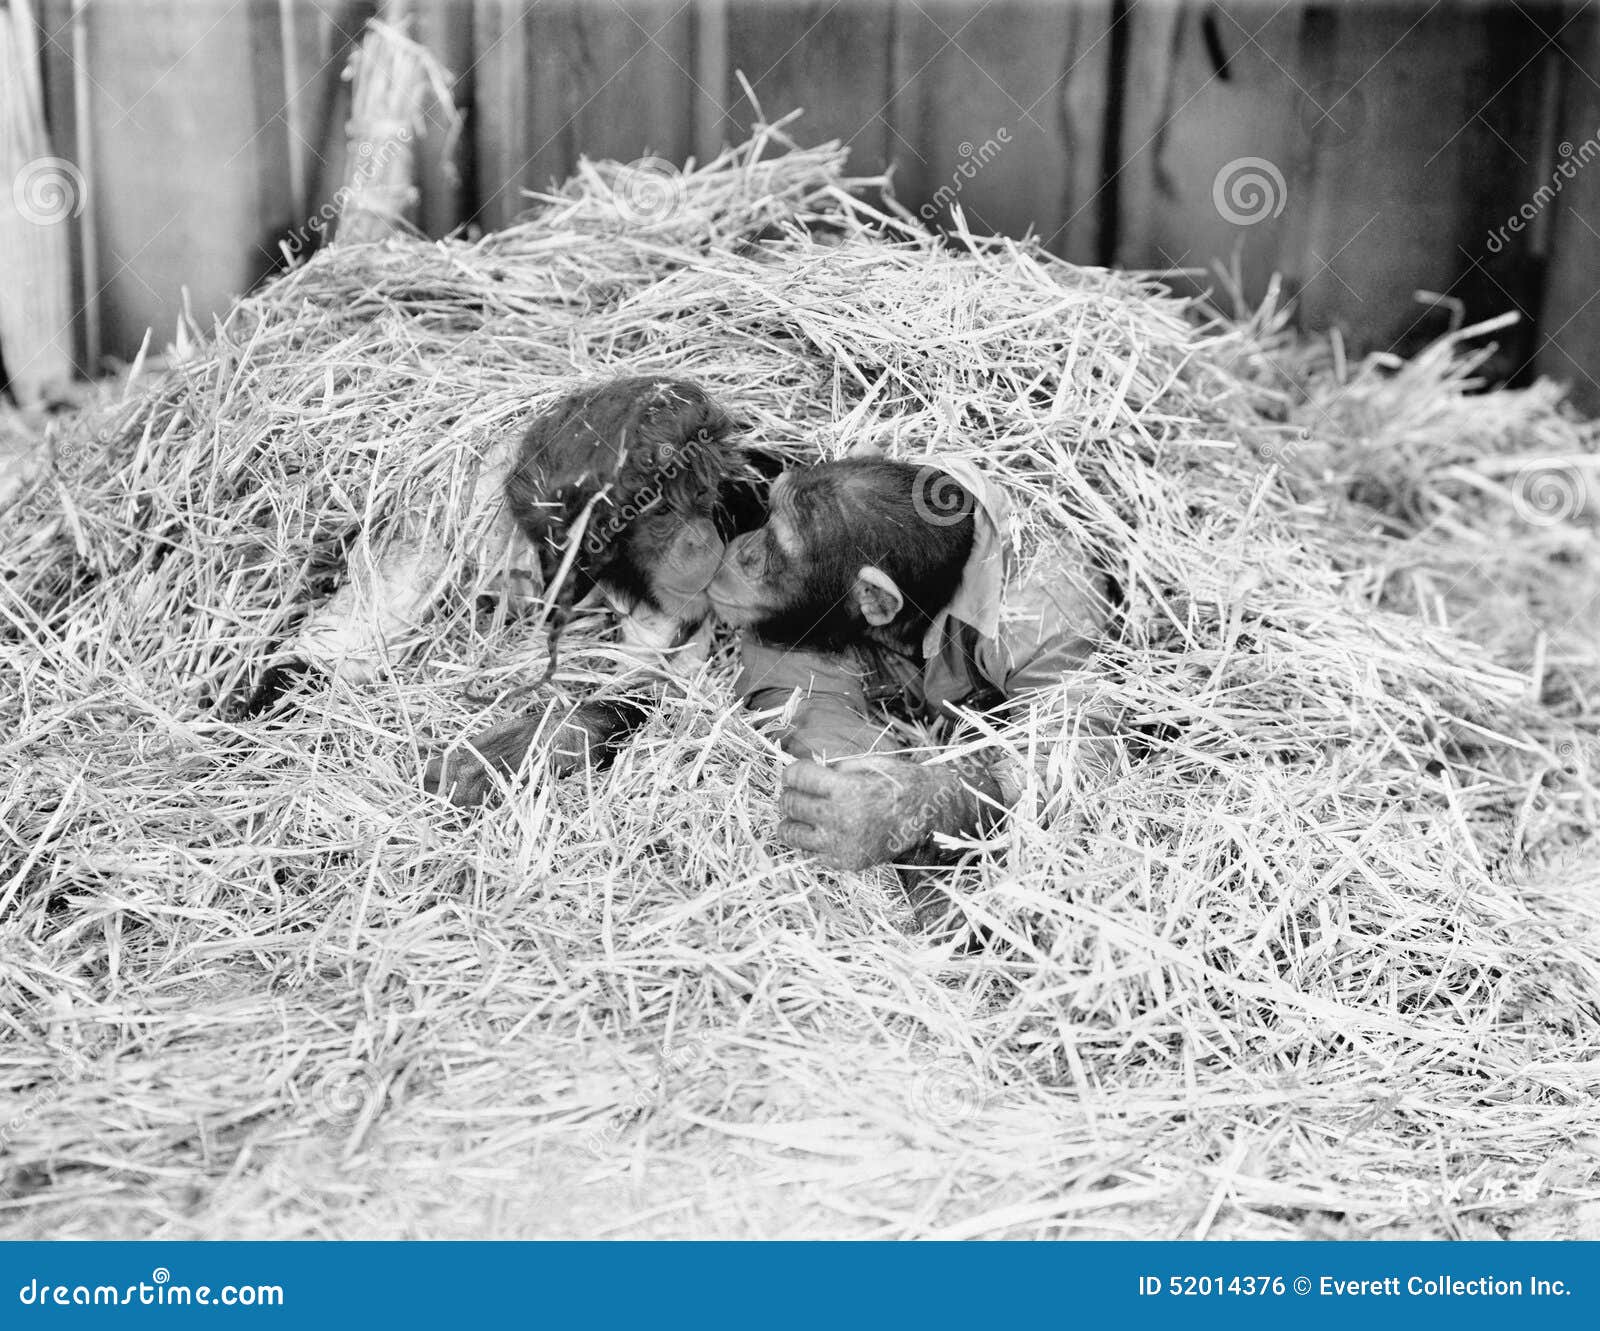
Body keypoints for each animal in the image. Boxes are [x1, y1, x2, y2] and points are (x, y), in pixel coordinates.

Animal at [705, 453, 1116, 915]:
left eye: (774, 544)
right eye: (766, 521)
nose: (742, 548)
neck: (922, 616)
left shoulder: (1043, 616)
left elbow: (1065, 742)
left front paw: (881, 809)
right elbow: (825, 720)